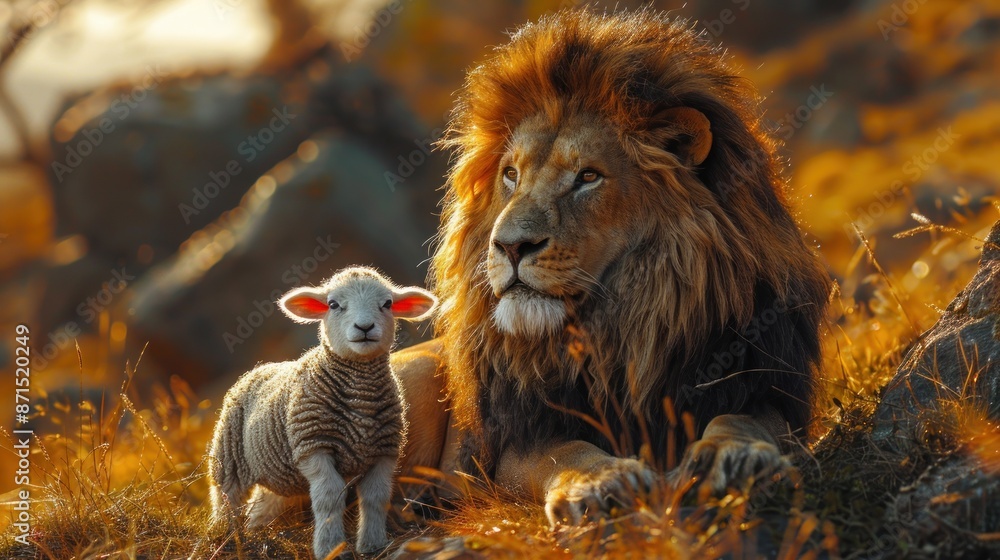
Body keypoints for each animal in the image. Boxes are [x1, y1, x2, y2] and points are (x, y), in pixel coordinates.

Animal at [207, 266, 437, 558]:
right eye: (333, 305)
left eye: (387, 304)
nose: (364, 327)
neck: (361, 401)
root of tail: (260, 367)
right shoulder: (314, 444)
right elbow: (329, 498)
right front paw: (330, 547)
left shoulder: (384, 451)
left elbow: (376, 497)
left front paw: (373, 545)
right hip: (229, 455)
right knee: (226, 497)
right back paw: (224, 537)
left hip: (279, 473)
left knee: (263, 503)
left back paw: (255, 531)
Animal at [391, 8, 831, 525]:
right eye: (511, 174)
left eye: (588, 177)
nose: (510, 246)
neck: (624, 324)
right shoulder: (517, 442)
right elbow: (567, 453)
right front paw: (601, 483)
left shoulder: (763, 386)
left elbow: (745, 420)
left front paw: (734, 456)